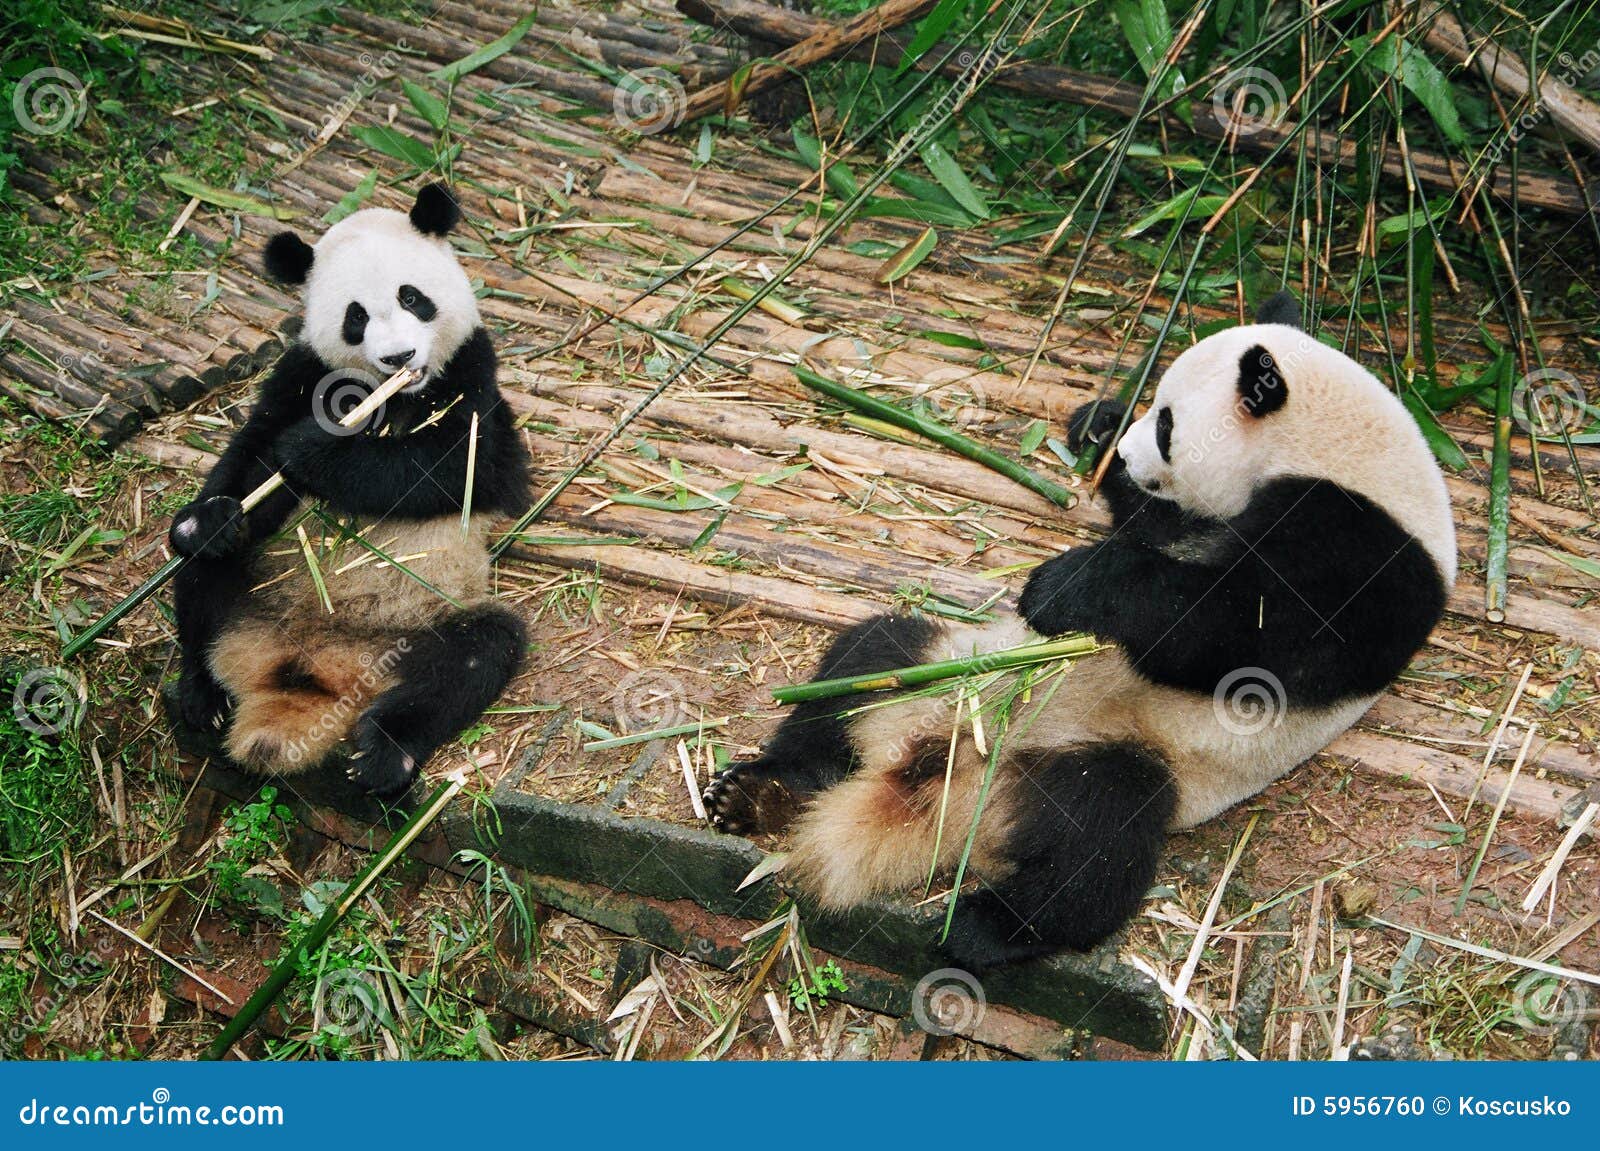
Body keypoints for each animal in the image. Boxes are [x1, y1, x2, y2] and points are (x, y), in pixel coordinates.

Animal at [167, 183, 531, 797]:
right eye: (355, 317)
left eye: (412, 297)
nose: (399, 357)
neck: (393, 395)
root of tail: (312, 669)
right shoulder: (300, 372)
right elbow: (252, 455)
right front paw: (215, 516)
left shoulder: (475, 379)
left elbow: (463, 468)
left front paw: (313, 453)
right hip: (252, 591)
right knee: (201, 577)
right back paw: (203, 694)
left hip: (424, 623)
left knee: (477, 652)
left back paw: (385, 752)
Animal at [705, 294, 1456, 969]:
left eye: (1168, 427)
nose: (1128, 449)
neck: (1339, 449)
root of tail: (947, 783)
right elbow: (1153, 528)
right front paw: (1098, 425)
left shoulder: (1369, 556)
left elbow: (1249, 634)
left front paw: (1064, 588)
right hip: (936, 670)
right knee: (856, 671)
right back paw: (757, 793)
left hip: (1116, 758)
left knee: (1097, 839)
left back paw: (987, 927)